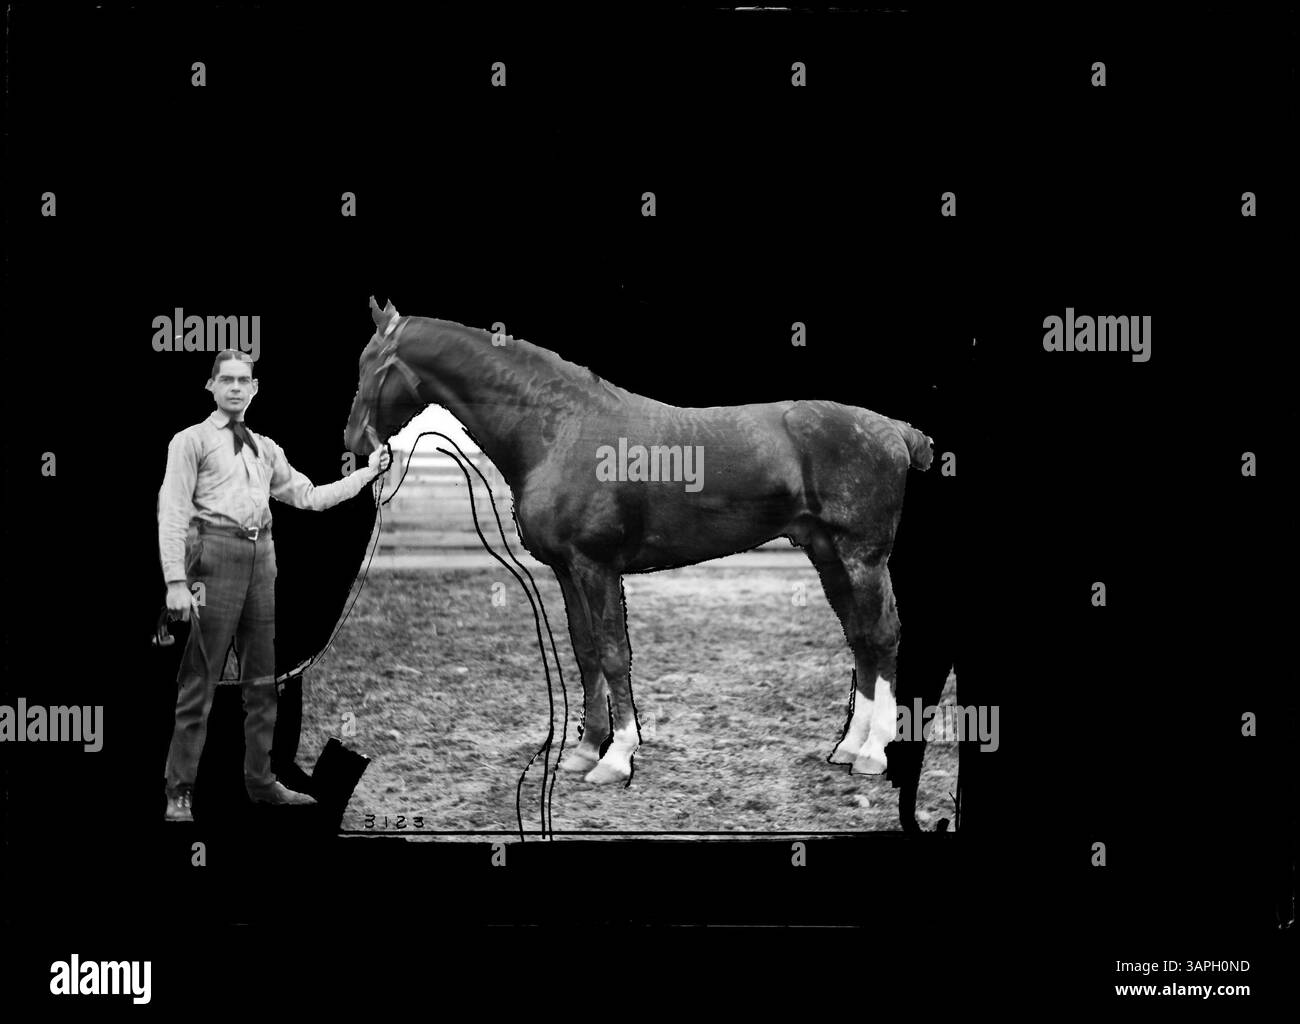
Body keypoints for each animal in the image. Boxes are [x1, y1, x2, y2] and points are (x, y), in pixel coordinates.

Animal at [344, 297, 934, 804]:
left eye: (373, 364)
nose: (354, 445)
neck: (559, 428)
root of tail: (893, 430)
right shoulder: (566, 570)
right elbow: (585, 653)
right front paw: (584, 751)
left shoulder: (597, 566)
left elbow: (613, 653)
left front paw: (617, 758)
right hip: (828, 555)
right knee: (860, 639)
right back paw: (848, 747)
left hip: (862, 556)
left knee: (881, 636)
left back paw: (874, 754)